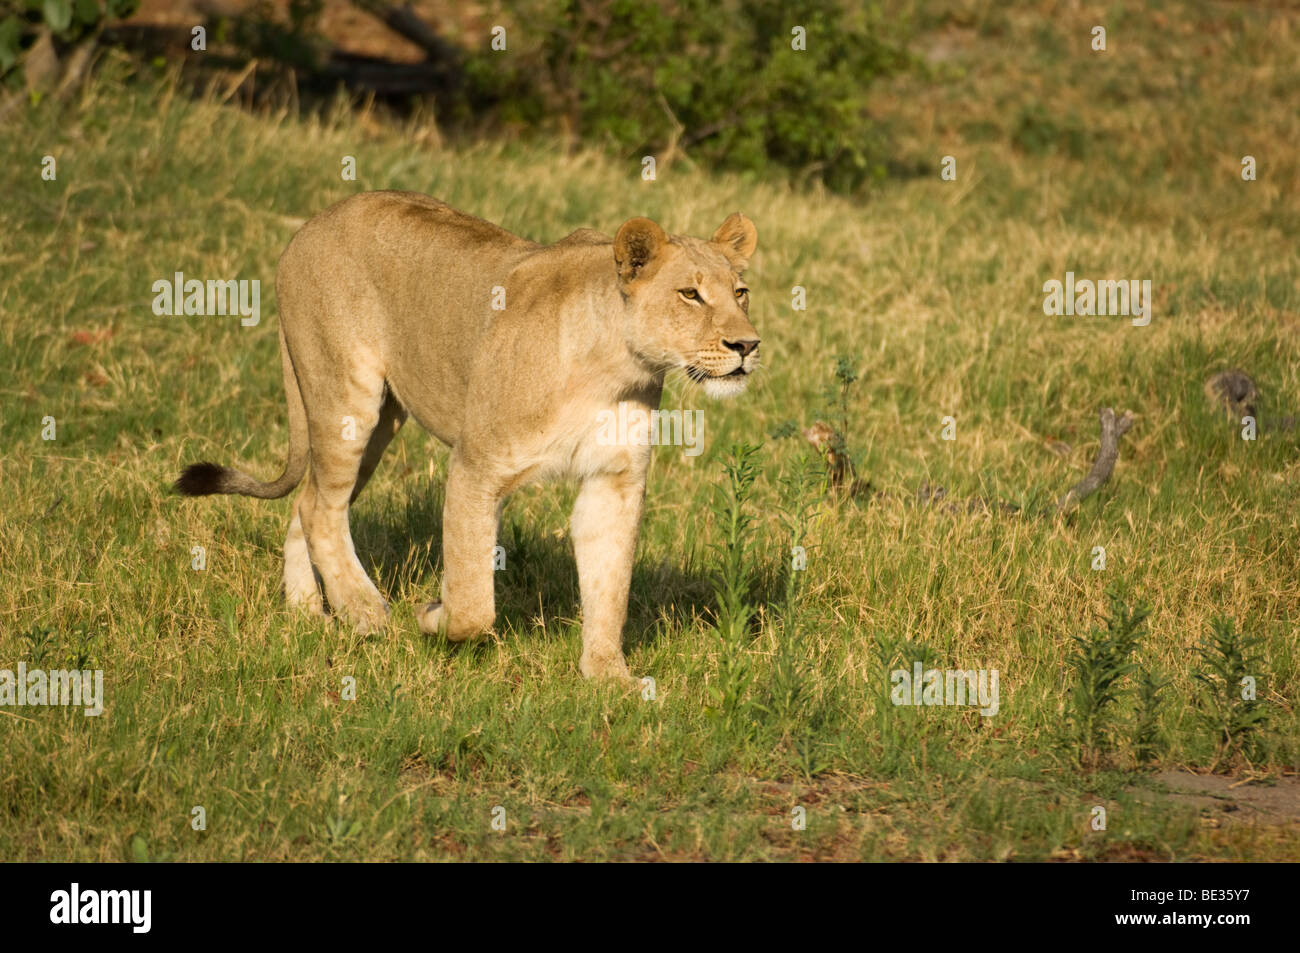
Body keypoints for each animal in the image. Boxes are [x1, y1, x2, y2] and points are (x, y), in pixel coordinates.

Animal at [175, 191, 760, 682]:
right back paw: (364, 612)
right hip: (346, 398)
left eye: (741, 293)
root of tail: (311, 224)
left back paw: (309, 613)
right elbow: (474, 602)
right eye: (690, 294)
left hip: (377, 426)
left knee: (310, 501)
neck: (614, 365)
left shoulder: (613, 479)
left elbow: (608, 587)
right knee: (322, 507)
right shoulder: (477, 467)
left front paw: (607, 679)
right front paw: (433, 615)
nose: (748, 345)